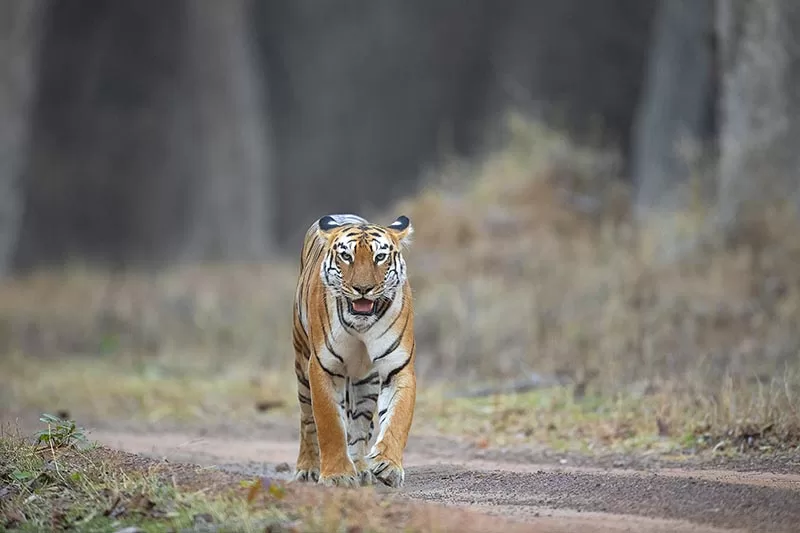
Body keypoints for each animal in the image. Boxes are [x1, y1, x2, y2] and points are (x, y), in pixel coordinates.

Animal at [291, 213, 416, 488]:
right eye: (346, 256)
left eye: (380, 256)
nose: (363, 288)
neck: (361, 325)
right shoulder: (323, 367)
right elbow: (330, 424)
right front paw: (337, 475)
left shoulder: (398, 368)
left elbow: (397, 420)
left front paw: (388, 466)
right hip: (302, 363)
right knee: (307, 421)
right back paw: (307, 469)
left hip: (366, 381)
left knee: (359, 426)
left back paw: (360, 468)